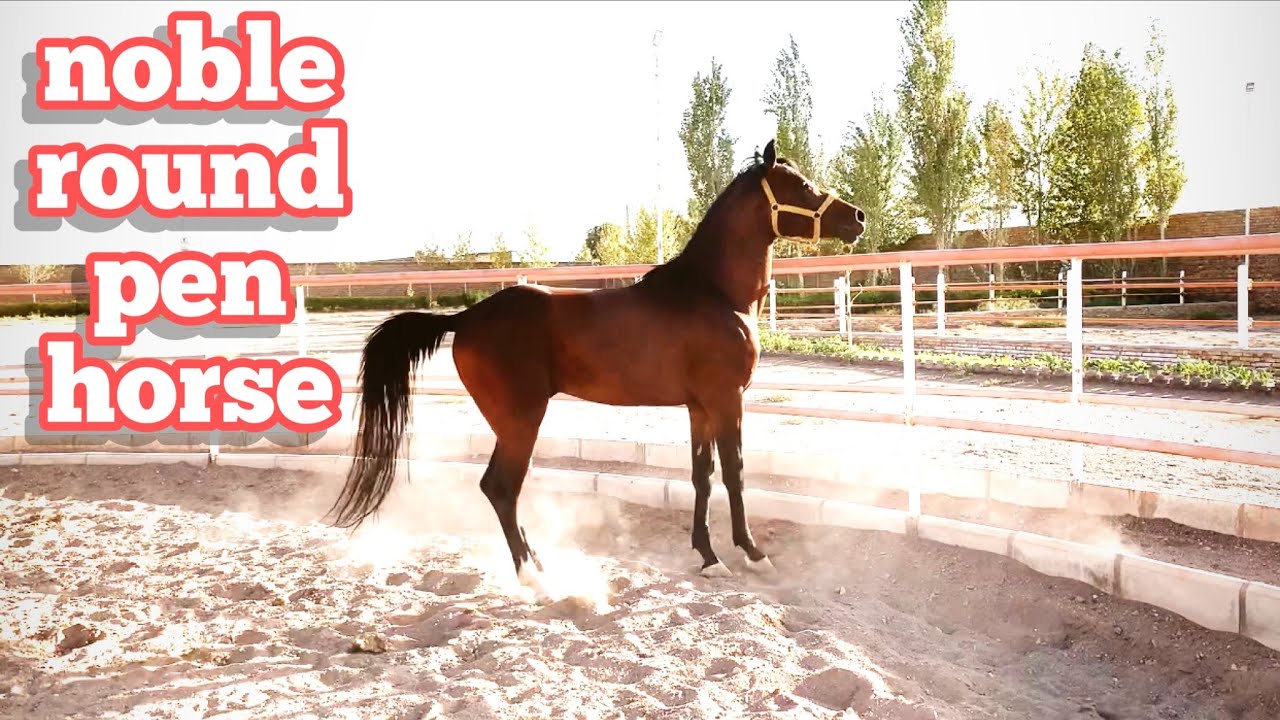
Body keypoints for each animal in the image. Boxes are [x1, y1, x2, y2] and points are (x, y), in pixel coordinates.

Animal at [326, 138, 866, 587]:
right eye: (800, 186)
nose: (857, 218)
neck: (714, 293)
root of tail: (467, 317)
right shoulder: (726, 399)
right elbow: (734, 472)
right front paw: (753, 554)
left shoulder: (698, 407)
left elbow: (702, 475)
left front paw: (708, 557)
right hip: (521, 420)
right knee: (500, 487)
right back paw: (531, 575)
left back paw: (537, 563)